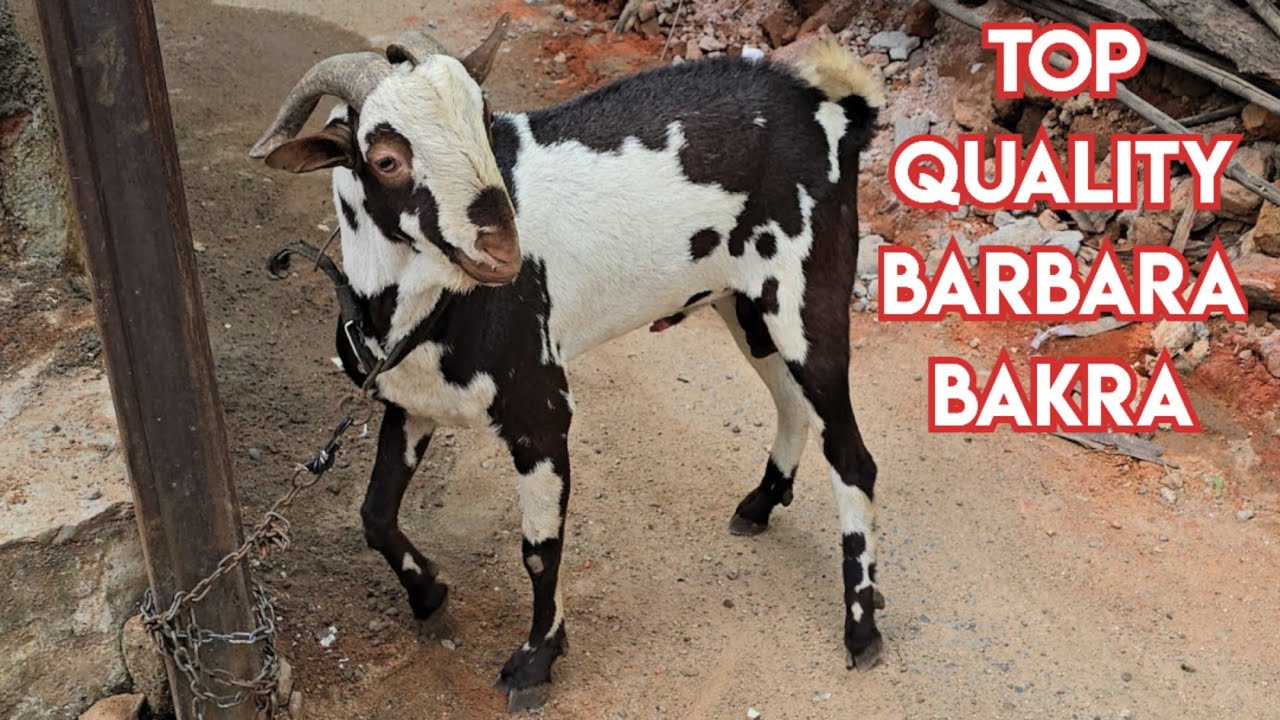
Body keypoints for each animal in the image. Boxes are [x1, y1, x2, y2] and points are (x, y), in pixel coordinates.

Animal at [251, 17, 886, 708]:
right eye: (387, 158)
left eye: (486, 117)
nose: (503, 249)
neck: (427, 301)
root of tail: (833, 113)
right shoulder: (412, 402)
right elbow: (374, 515)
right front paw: (430, 593)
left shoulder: (541, 412)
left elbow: (538, 547)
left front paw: (535, 661)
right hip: (741, 302)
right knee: (792, 399)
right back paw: (763, 502)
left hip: (807, 293)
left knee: (853, 456)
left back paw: (862, 629)